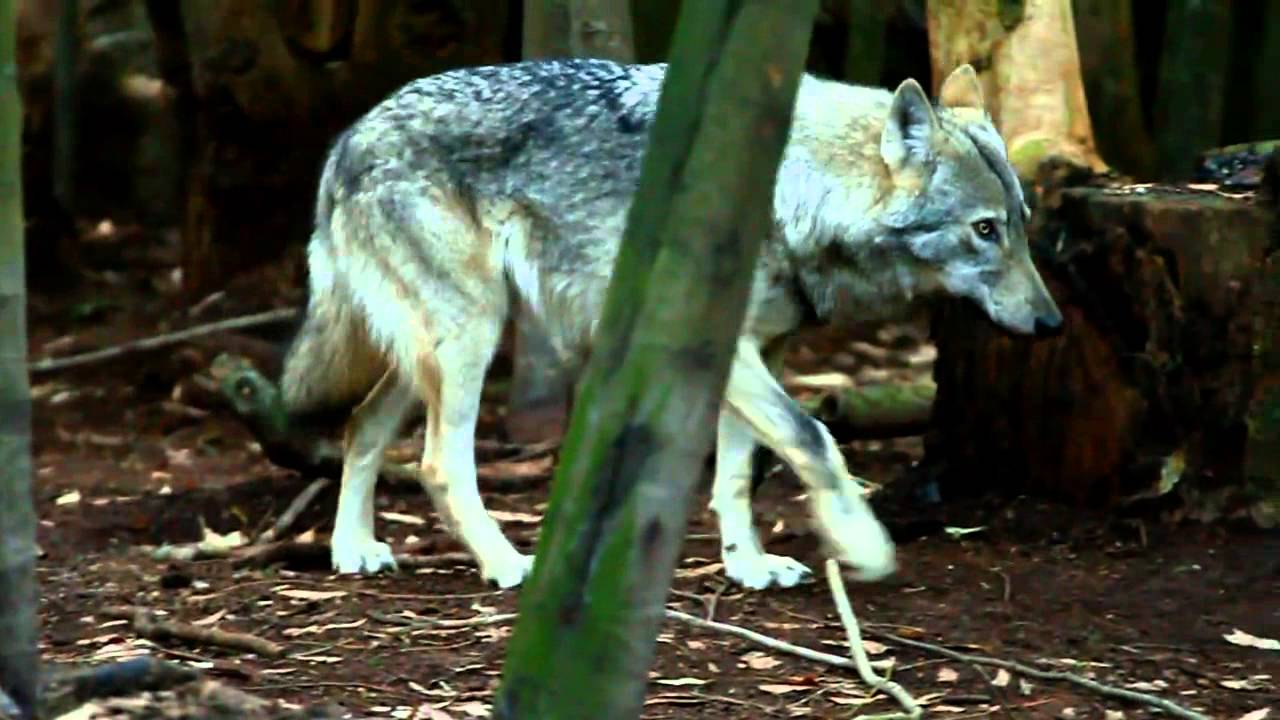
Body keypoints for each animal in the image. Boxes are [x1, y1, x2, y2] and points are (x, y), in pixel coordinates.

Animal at [278, 58, 1064, 591]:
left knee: (363, 426)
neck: (797, 190)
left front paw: (749, 565)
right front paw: (862, 544)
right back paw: (505, 563)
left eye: (1022, 224)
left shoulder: (762, 350)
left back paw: (352, 550)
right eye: (984, 230)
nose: (1053, 321)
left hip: (438, 352)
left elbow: (741, 472)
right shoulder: (730, 351)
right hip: (470, 337)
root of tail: (348, 137)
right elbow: (814, 439)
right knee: (440, 463)